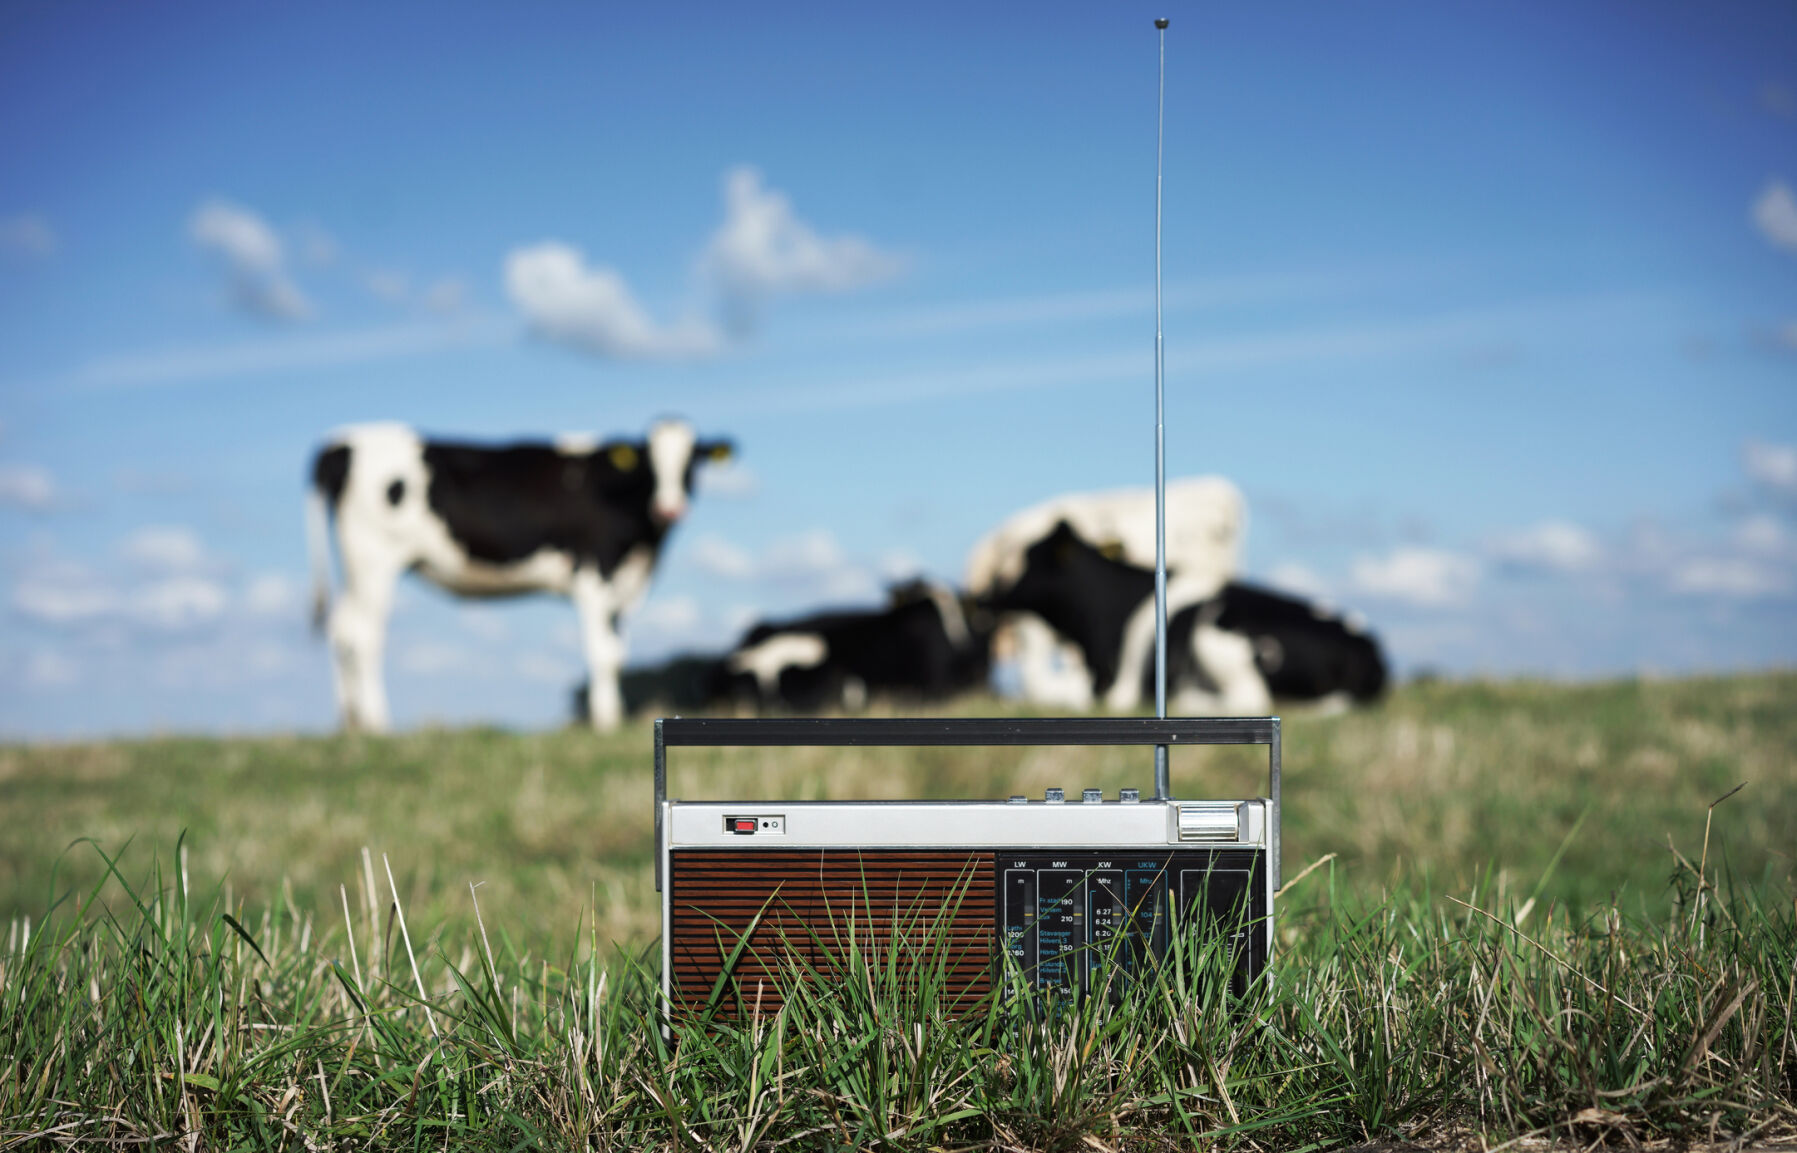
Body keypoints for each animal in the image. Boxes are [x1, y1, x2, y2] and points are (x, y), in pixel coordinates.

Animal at [306, 417, 733, 732]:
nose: (670, 508)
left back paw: (349, 724)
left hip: (358, 567)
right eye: (650, 463)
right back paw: (378, 723)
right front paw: (606, 722)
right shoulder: (594, 575)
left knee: (341, 628)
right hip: (375, 559)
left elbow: (617, 654)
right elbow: (602, 654)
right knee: (363, 636)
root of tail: (340, 443)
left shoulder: (623, 586)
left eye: (692, 462)